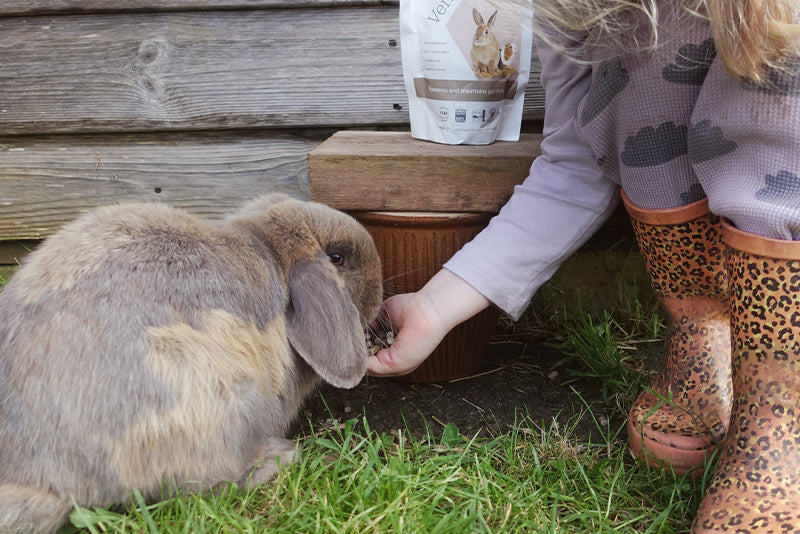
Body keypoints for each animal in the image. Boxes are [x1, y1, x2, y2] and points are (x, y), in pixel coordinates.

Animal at [0, 193, 383, 534]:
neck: (267, 248)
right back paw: (282, 456)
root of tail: (42, 477)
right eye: (337, 257)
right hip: (218, 395)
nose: (379, 290)